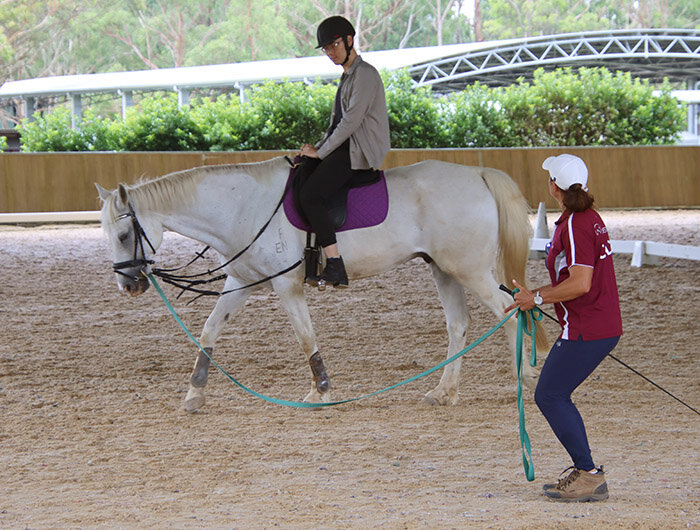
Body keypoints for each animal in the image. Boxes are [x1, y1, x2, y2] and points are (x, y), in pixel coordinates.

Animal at [97, 155, 548, 410]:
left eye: (123, 234)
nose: (128, 285)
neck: (242, 205)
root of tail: (477, 173)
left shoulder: (287, 286)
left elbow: (305, 337)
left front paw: (322, 391)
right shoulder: (240, 282)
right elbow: (208, 331)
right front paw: (195, 394)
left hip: (468, 269)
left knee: (509, 312)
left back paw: (522, 380)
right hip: (444, 269)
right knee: (459, 325)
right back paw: (444, 392)